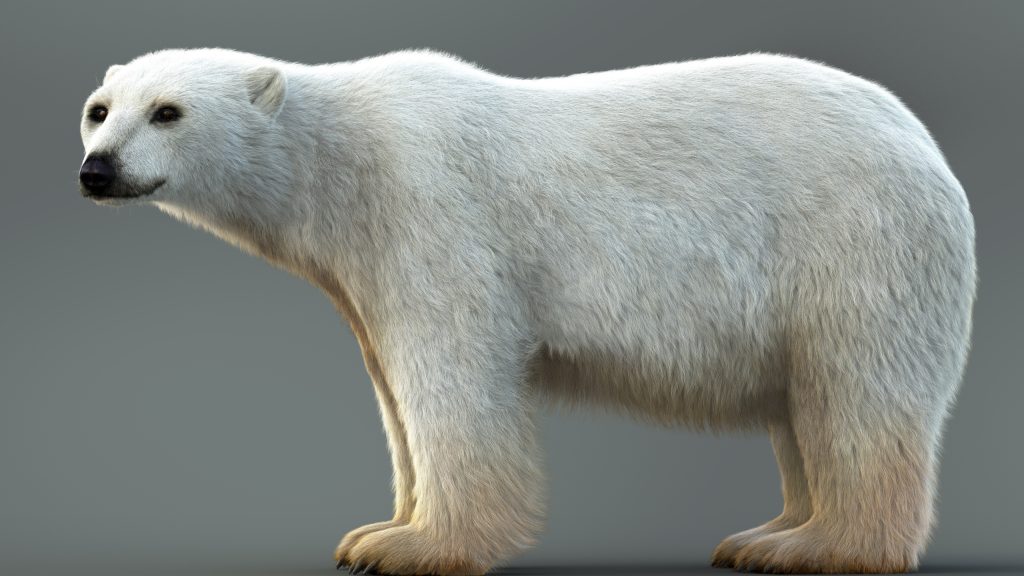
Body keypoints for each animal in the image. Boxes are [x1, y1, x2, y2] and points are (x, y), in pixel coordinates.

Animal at [78, 48, 977, 575]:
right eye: (99, 108)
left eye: (168, 111)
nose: (98, 169)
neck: (338, 162)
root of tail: (924, 143)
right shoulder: (361, 270)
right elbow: (392, 389)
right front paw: (380, 525)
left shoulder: (427, 210)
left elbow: (453, 374)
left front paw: (413, 546)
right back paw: (768, 531)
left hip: (852, 244)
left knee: (856, 393)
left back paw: (818, 545)